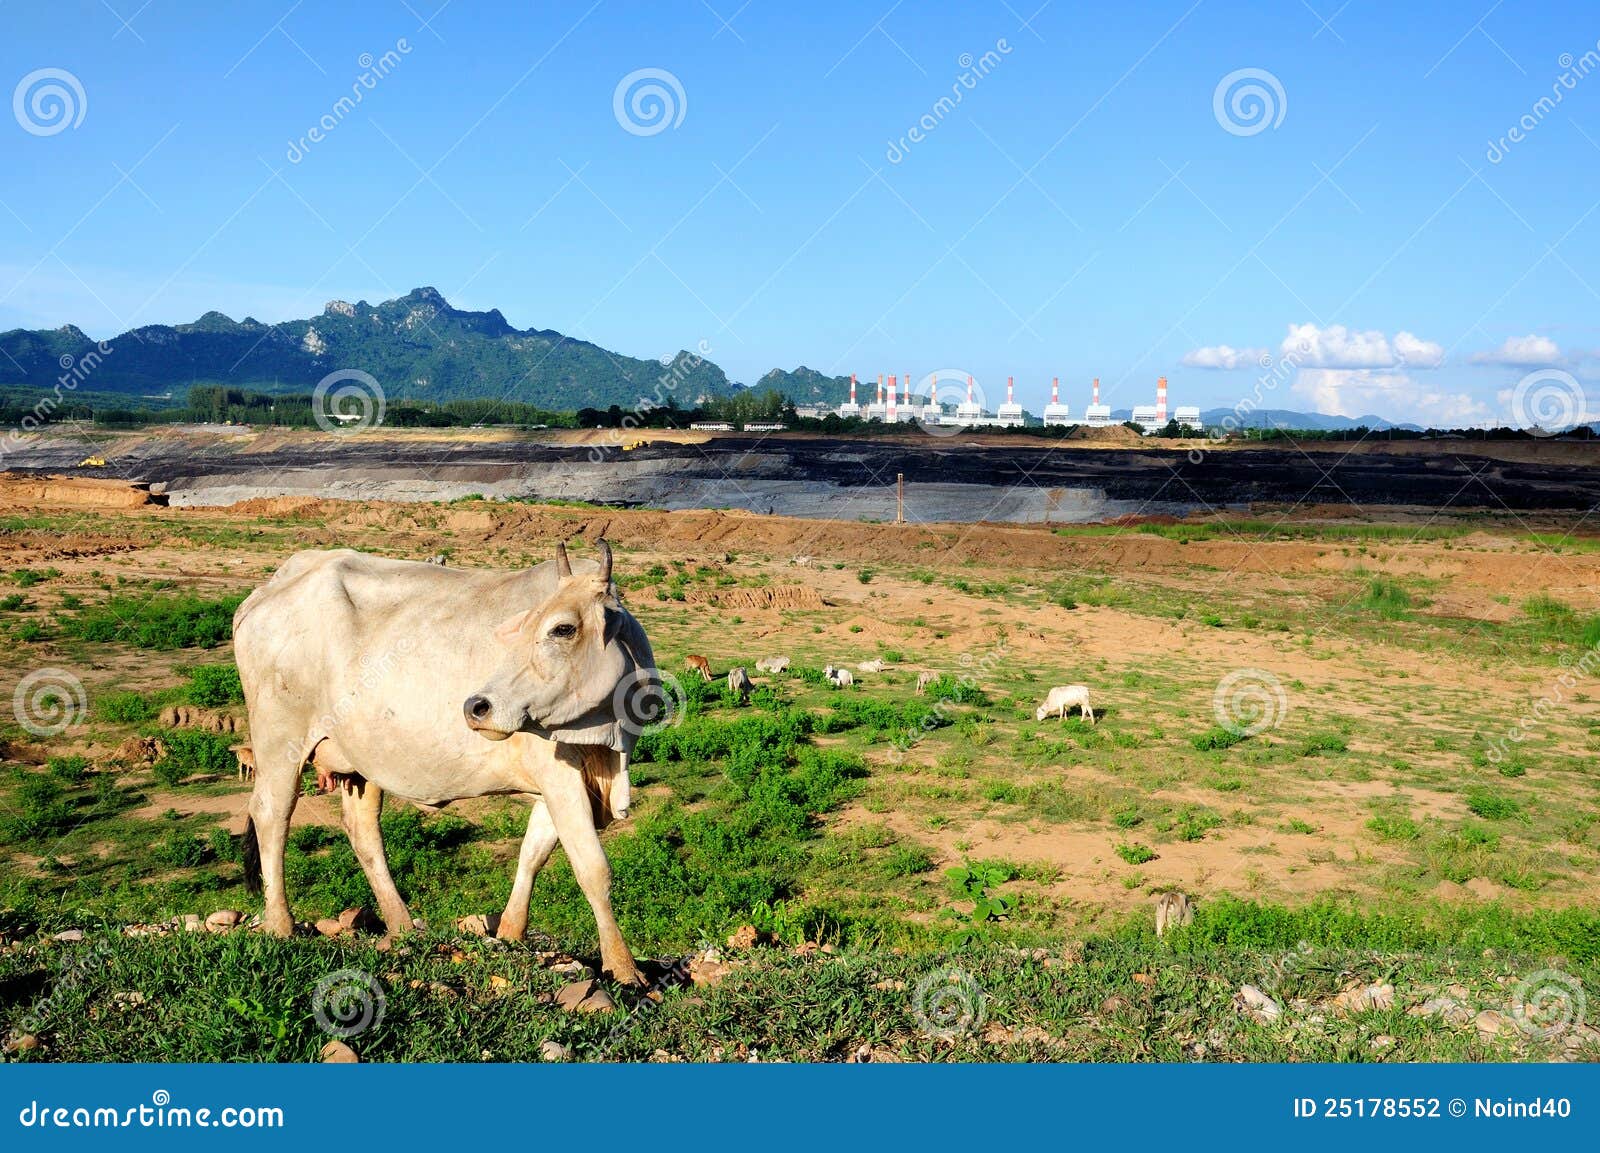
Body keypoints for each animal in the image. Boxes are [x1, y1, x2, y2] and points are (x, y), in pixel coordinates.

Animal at [233, 538, 657, 985]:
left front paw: (511, 932)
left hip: (361, 761)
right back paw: (280, 924)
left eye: (563, 628)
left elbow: (533, 853)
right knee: (272, 816)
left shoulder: (560, 779)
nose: (477, 707)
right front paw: (623, 966)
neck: (608, 743)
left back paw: (402, 925)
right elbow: (593, 868)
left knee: (363, 832)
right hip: (280, 742)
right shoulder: (558, 773)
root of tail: (268, 590)